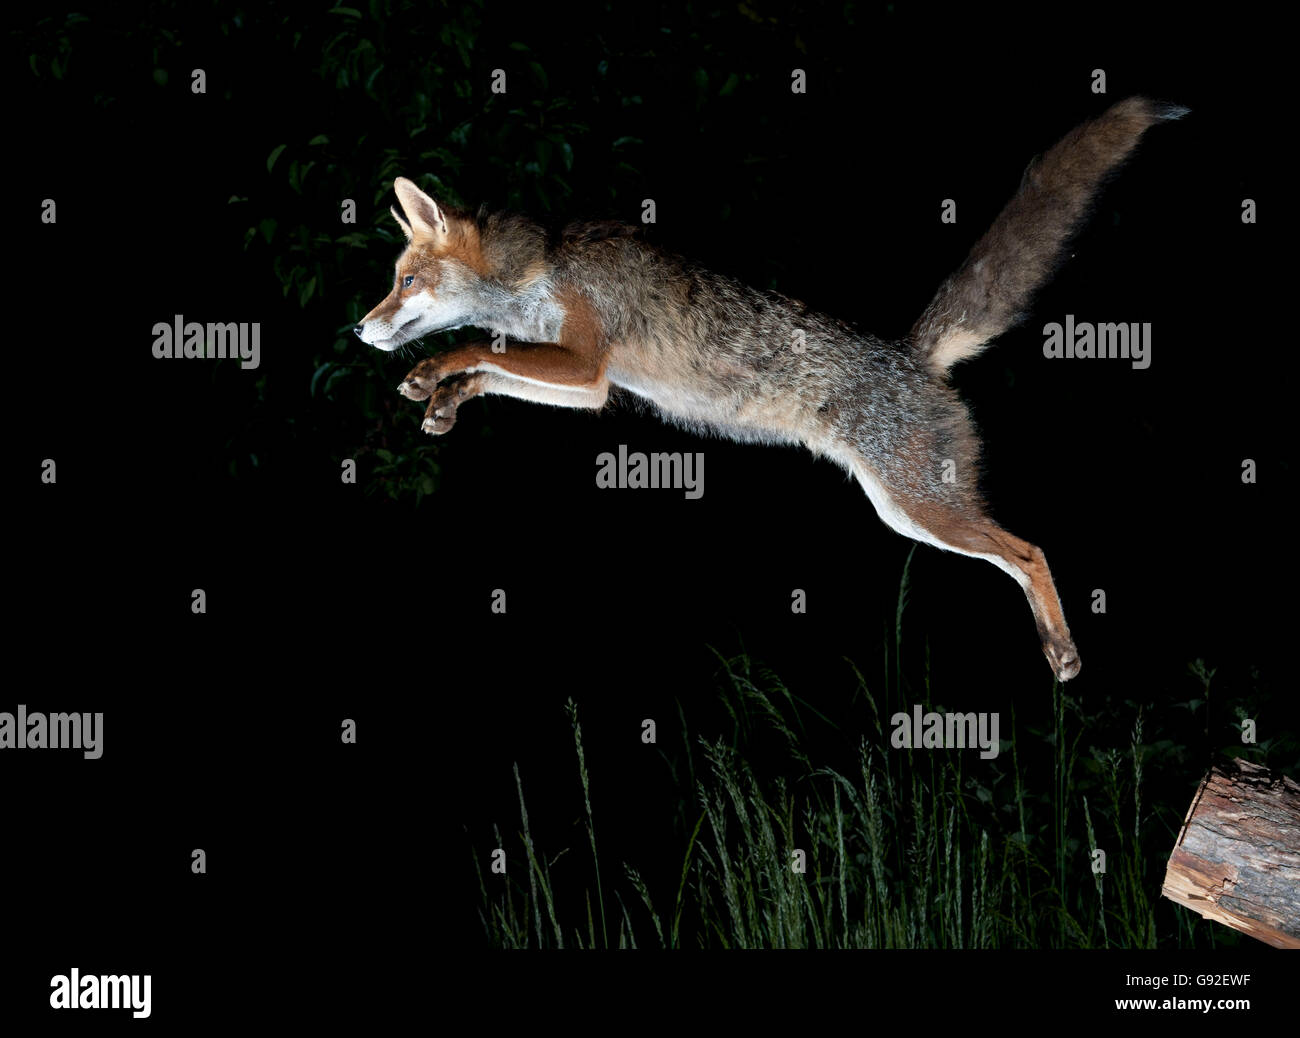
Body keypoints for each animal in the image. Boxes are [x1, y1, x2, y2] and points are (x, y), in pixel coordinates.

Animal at [355, 96, 1187, 682]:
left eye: (404, 282)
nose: (362, 329)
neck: (538, 275)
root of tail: (911, 352)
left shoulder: (586, 359)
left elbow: (471, 346)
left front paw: (429, 373)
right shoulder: (592, 384)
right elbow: (489, 369)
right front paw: (444, 399)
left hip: (922, 505)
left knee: (1032, 549)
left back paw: (1063, 649)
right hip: (908, 515)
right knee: (1016, 554)